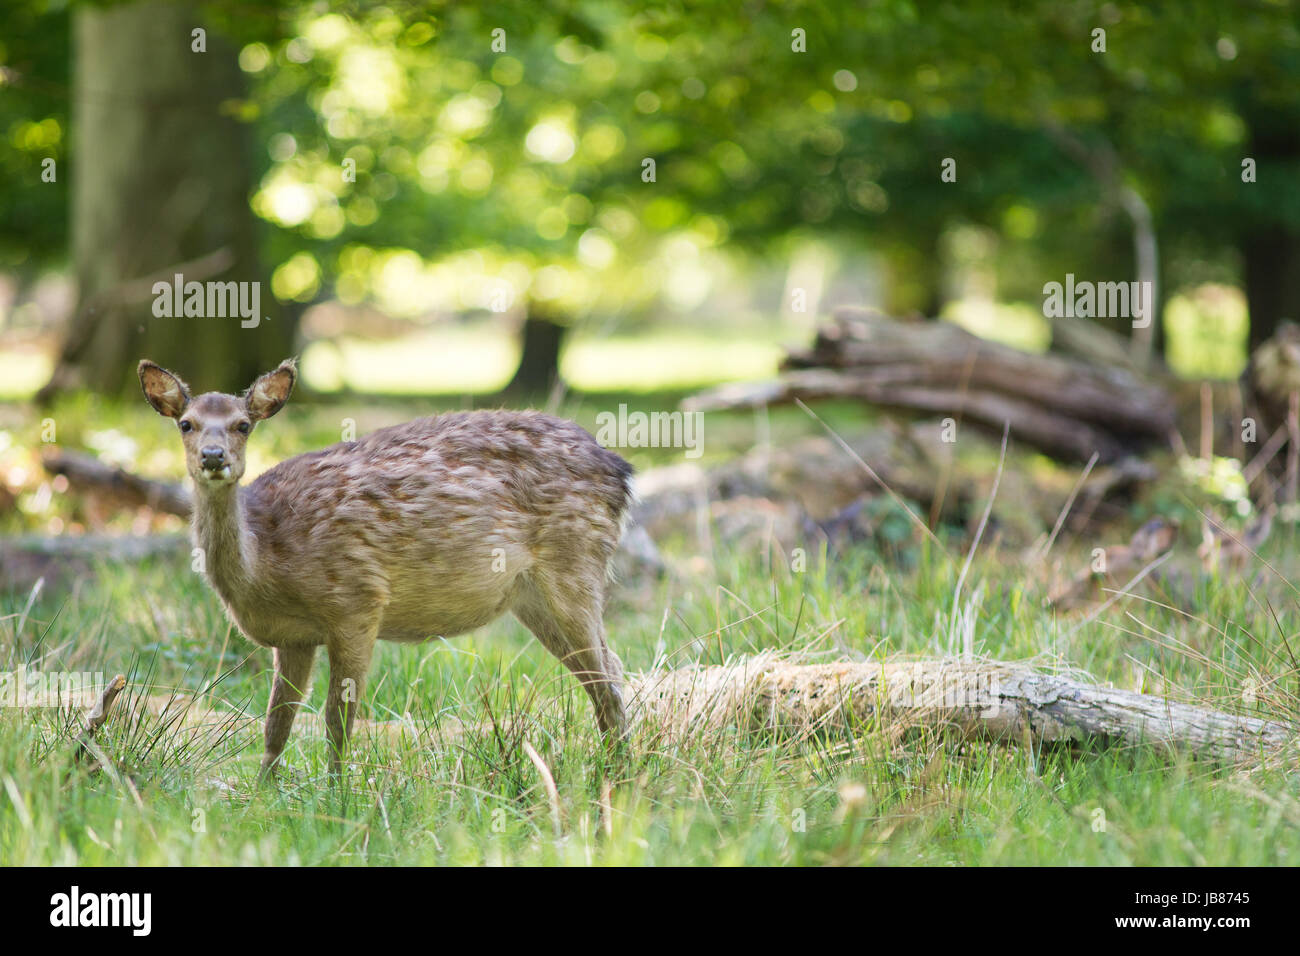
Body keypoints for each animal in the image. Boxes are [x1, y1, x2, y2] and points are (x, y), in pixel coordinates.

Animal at [138, 358, 633, 778]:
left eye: (243, 424)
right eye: (186, 423)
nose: (213, 456)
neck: (267, 565)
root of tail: (621, 471)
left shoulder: (357, 601)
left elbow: (338, 720)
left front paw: (336, 794)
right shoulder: (293, 637)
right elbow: (276, 724)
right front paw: (263, 793)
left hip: (575, 560)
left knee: (609, 679)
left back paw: (619, 775)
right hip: (533, 596)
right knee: (605, 671)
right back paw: (617, 767)